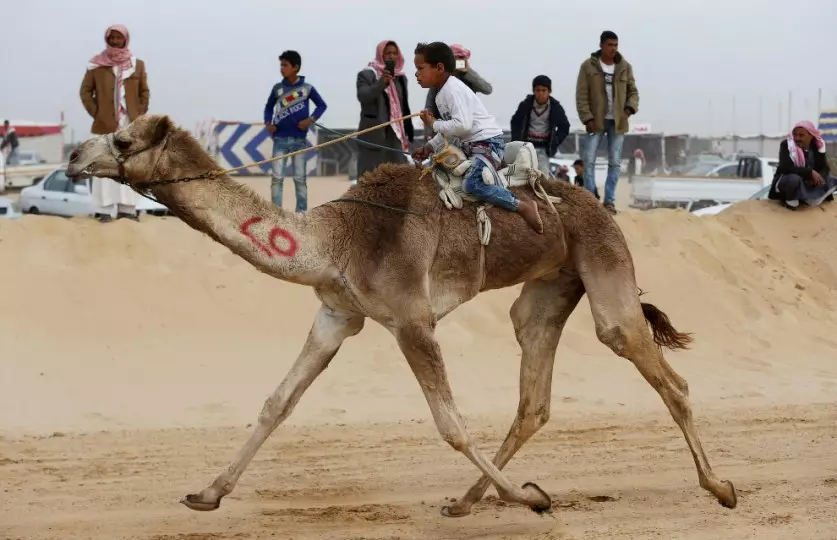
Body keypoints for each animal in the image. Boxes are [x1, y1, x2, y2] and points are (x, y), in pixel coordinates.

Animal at [65, 115, 736, 520]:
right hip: (550, 287)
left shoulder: (411, 319)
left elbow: (451, 424)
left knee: (656, 366)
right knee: (534, 393)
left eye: (123, 141)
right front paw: (207, 493)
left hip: (604, 263)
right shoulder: (337, 314)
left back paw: (721, 488)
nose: (72, 156)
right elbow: (278, 402)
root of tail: (599, 205)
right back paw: (468, 501)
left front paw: (528, 498)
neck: (336, 239)